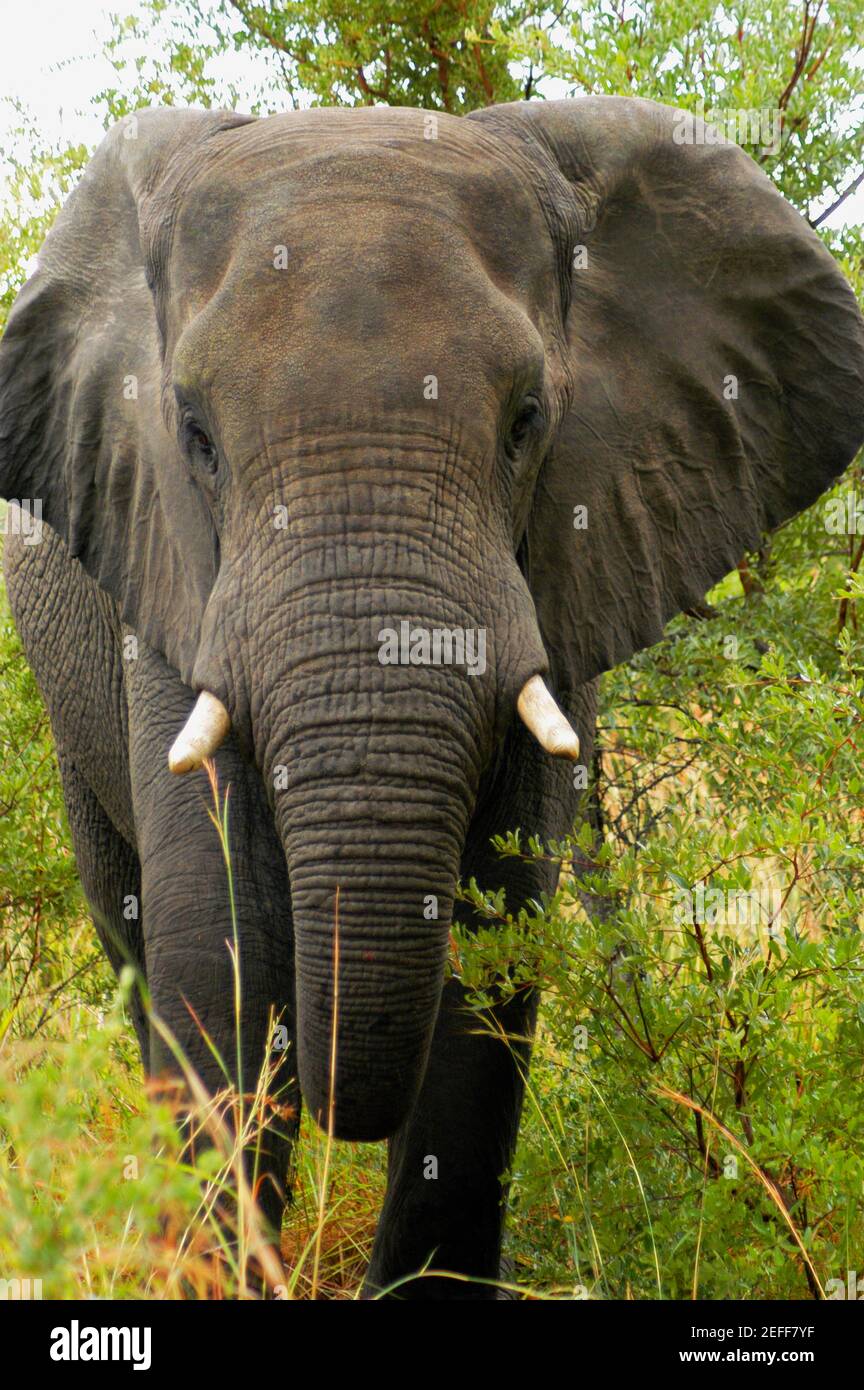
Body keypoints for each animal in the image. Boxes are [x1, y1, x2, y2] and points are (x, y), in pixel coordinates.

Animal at [1, 95, 863, 1300]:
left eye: (527, 421)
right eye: (195, 435)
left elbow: (494, 939)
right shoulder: (166, 571)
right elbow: (217, 945)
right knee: (126, 928)